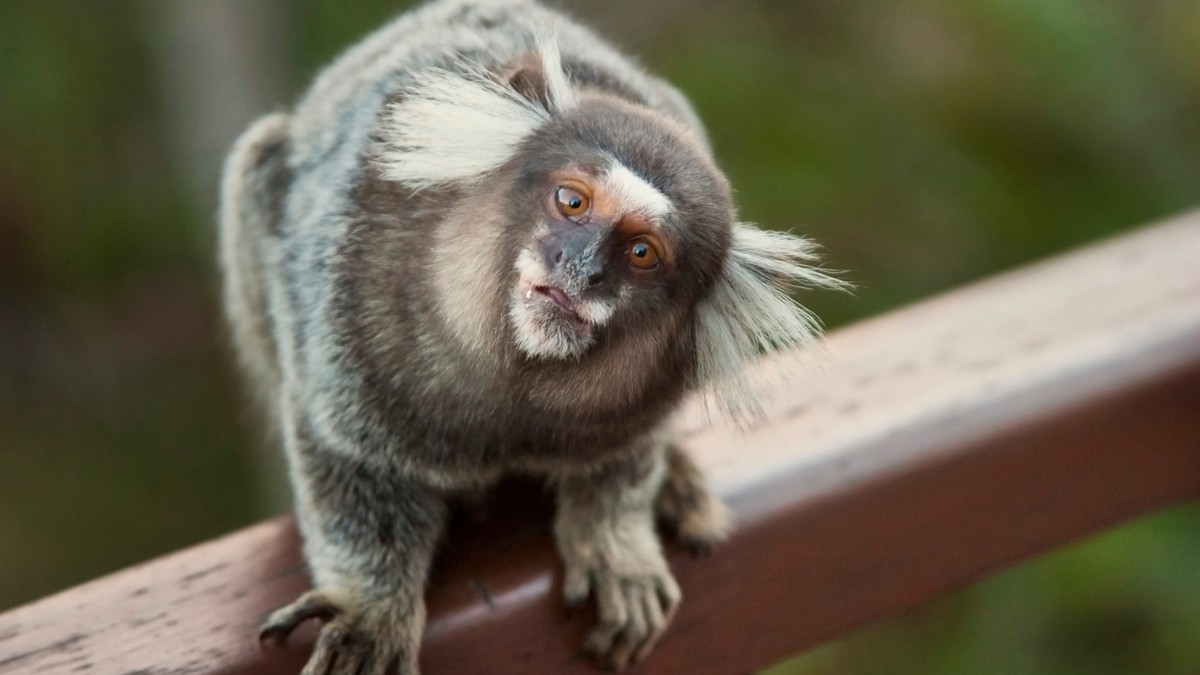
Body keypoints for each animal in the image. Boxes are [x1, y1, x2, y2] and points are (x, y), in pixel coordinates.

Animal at [219, 0, 842, 673]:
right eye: (571, 202)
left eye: (642, 253)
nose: (583, 268)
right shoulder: (352, 306)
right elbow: (349, 460)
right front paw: (371, 610)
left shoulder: (645, 399)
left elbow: (623, 464)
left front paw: (614, 544)